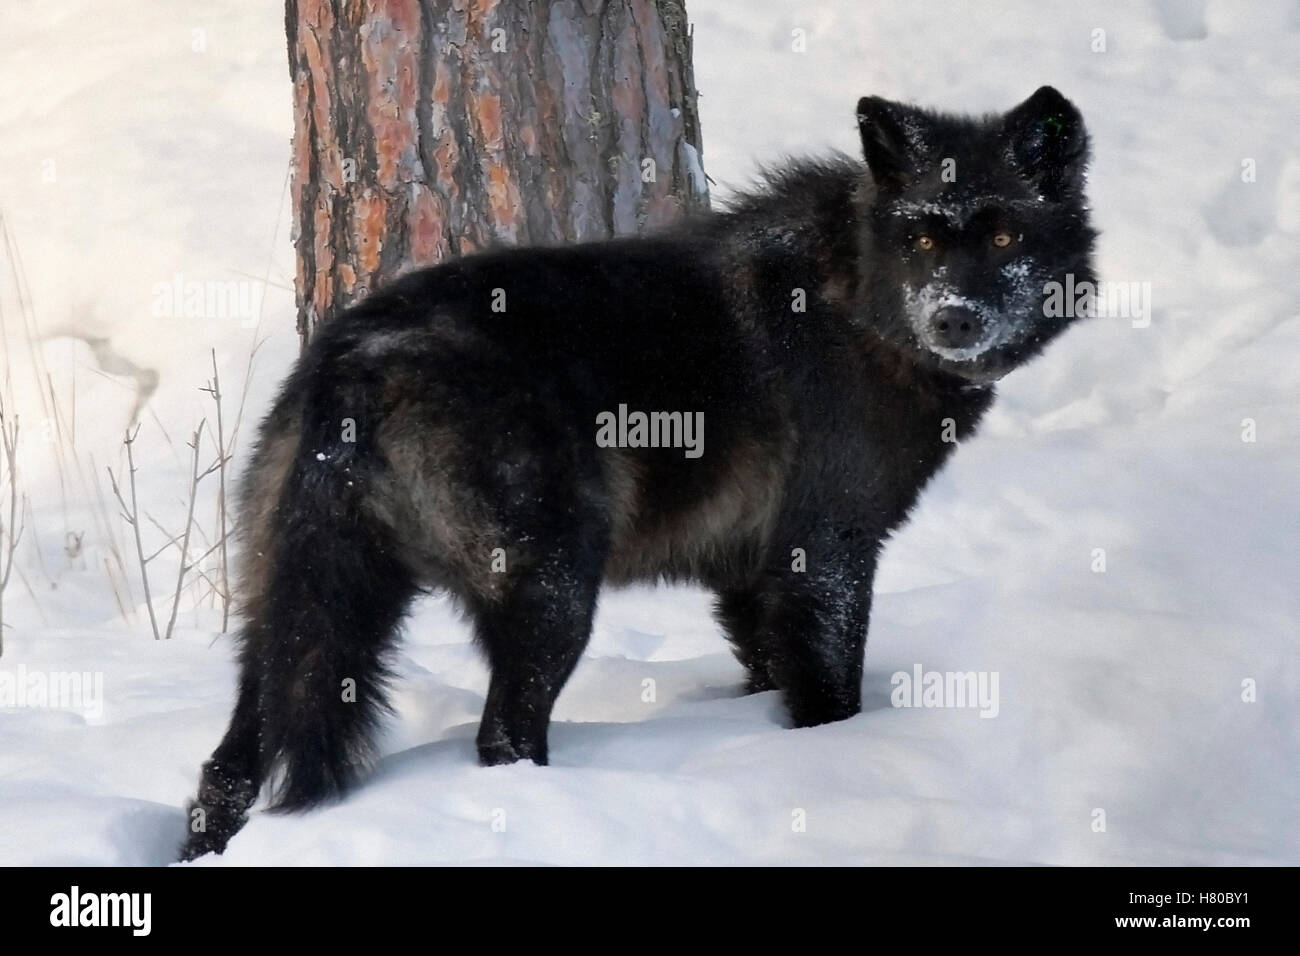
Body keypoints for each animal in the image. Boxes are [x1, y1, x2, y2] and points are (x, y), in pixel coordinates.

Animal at [179, 86, 1096, 859]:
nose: (954, 318)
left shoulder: (751, 576)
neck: (854, 297)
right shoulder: (827, 556)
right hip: (553, 599)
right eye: (923, 238)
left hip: (303, 614)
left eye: (1005, 236)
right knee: (503, 740)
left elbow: (766, 672)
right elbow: (831, 695)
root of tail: (353, 361)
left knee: (226, 771)